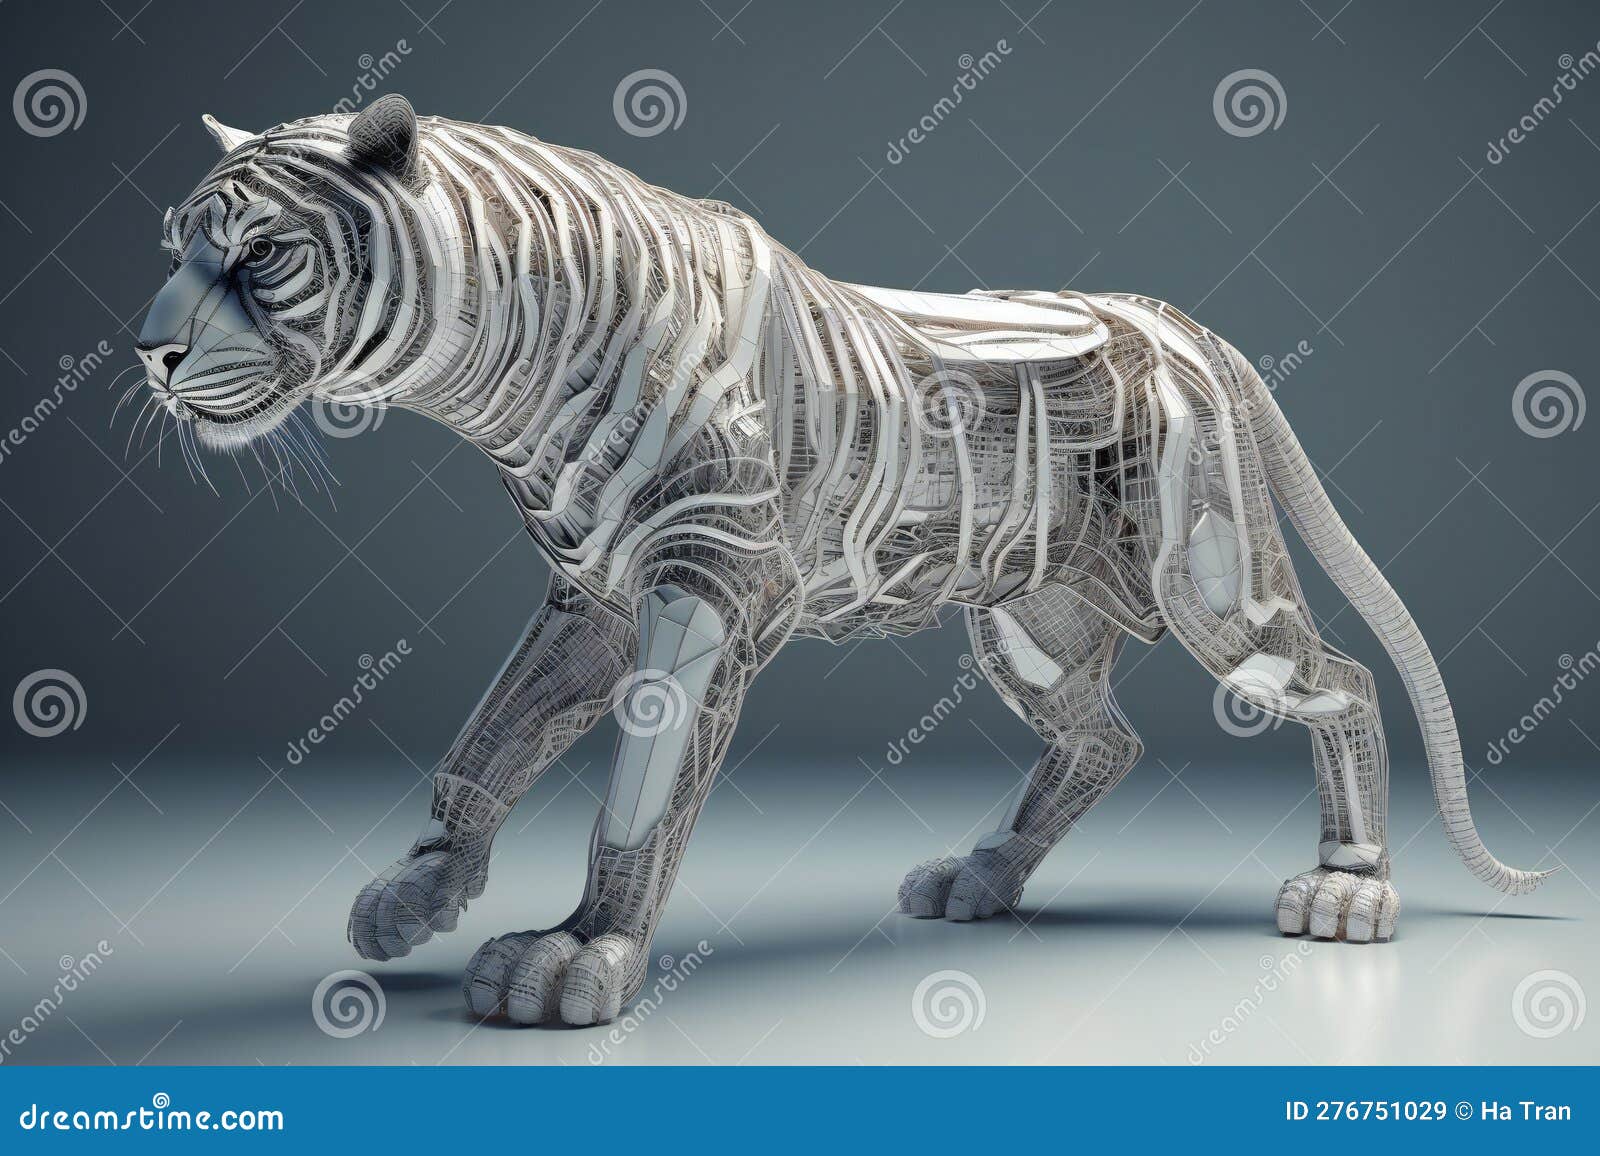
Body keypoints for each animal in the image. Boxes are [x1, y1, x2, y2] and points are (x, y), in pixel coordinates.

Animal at [133, 94, 1548, 1027]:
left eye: (262, 251)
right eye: (173, 245)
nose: (149, 348)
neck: (507, 369)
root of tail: (1180, 320)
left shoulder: (698, 587)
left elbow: (637, 793)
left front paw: (577, 956)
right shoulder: (592, 594)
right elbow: (489, 739)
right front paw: (424, 890)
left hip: (1208, 592)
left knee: (1340, 683)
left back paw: (1346, 891)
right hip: (1026, 625)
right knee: (1105, 738)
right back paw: (981, 875)